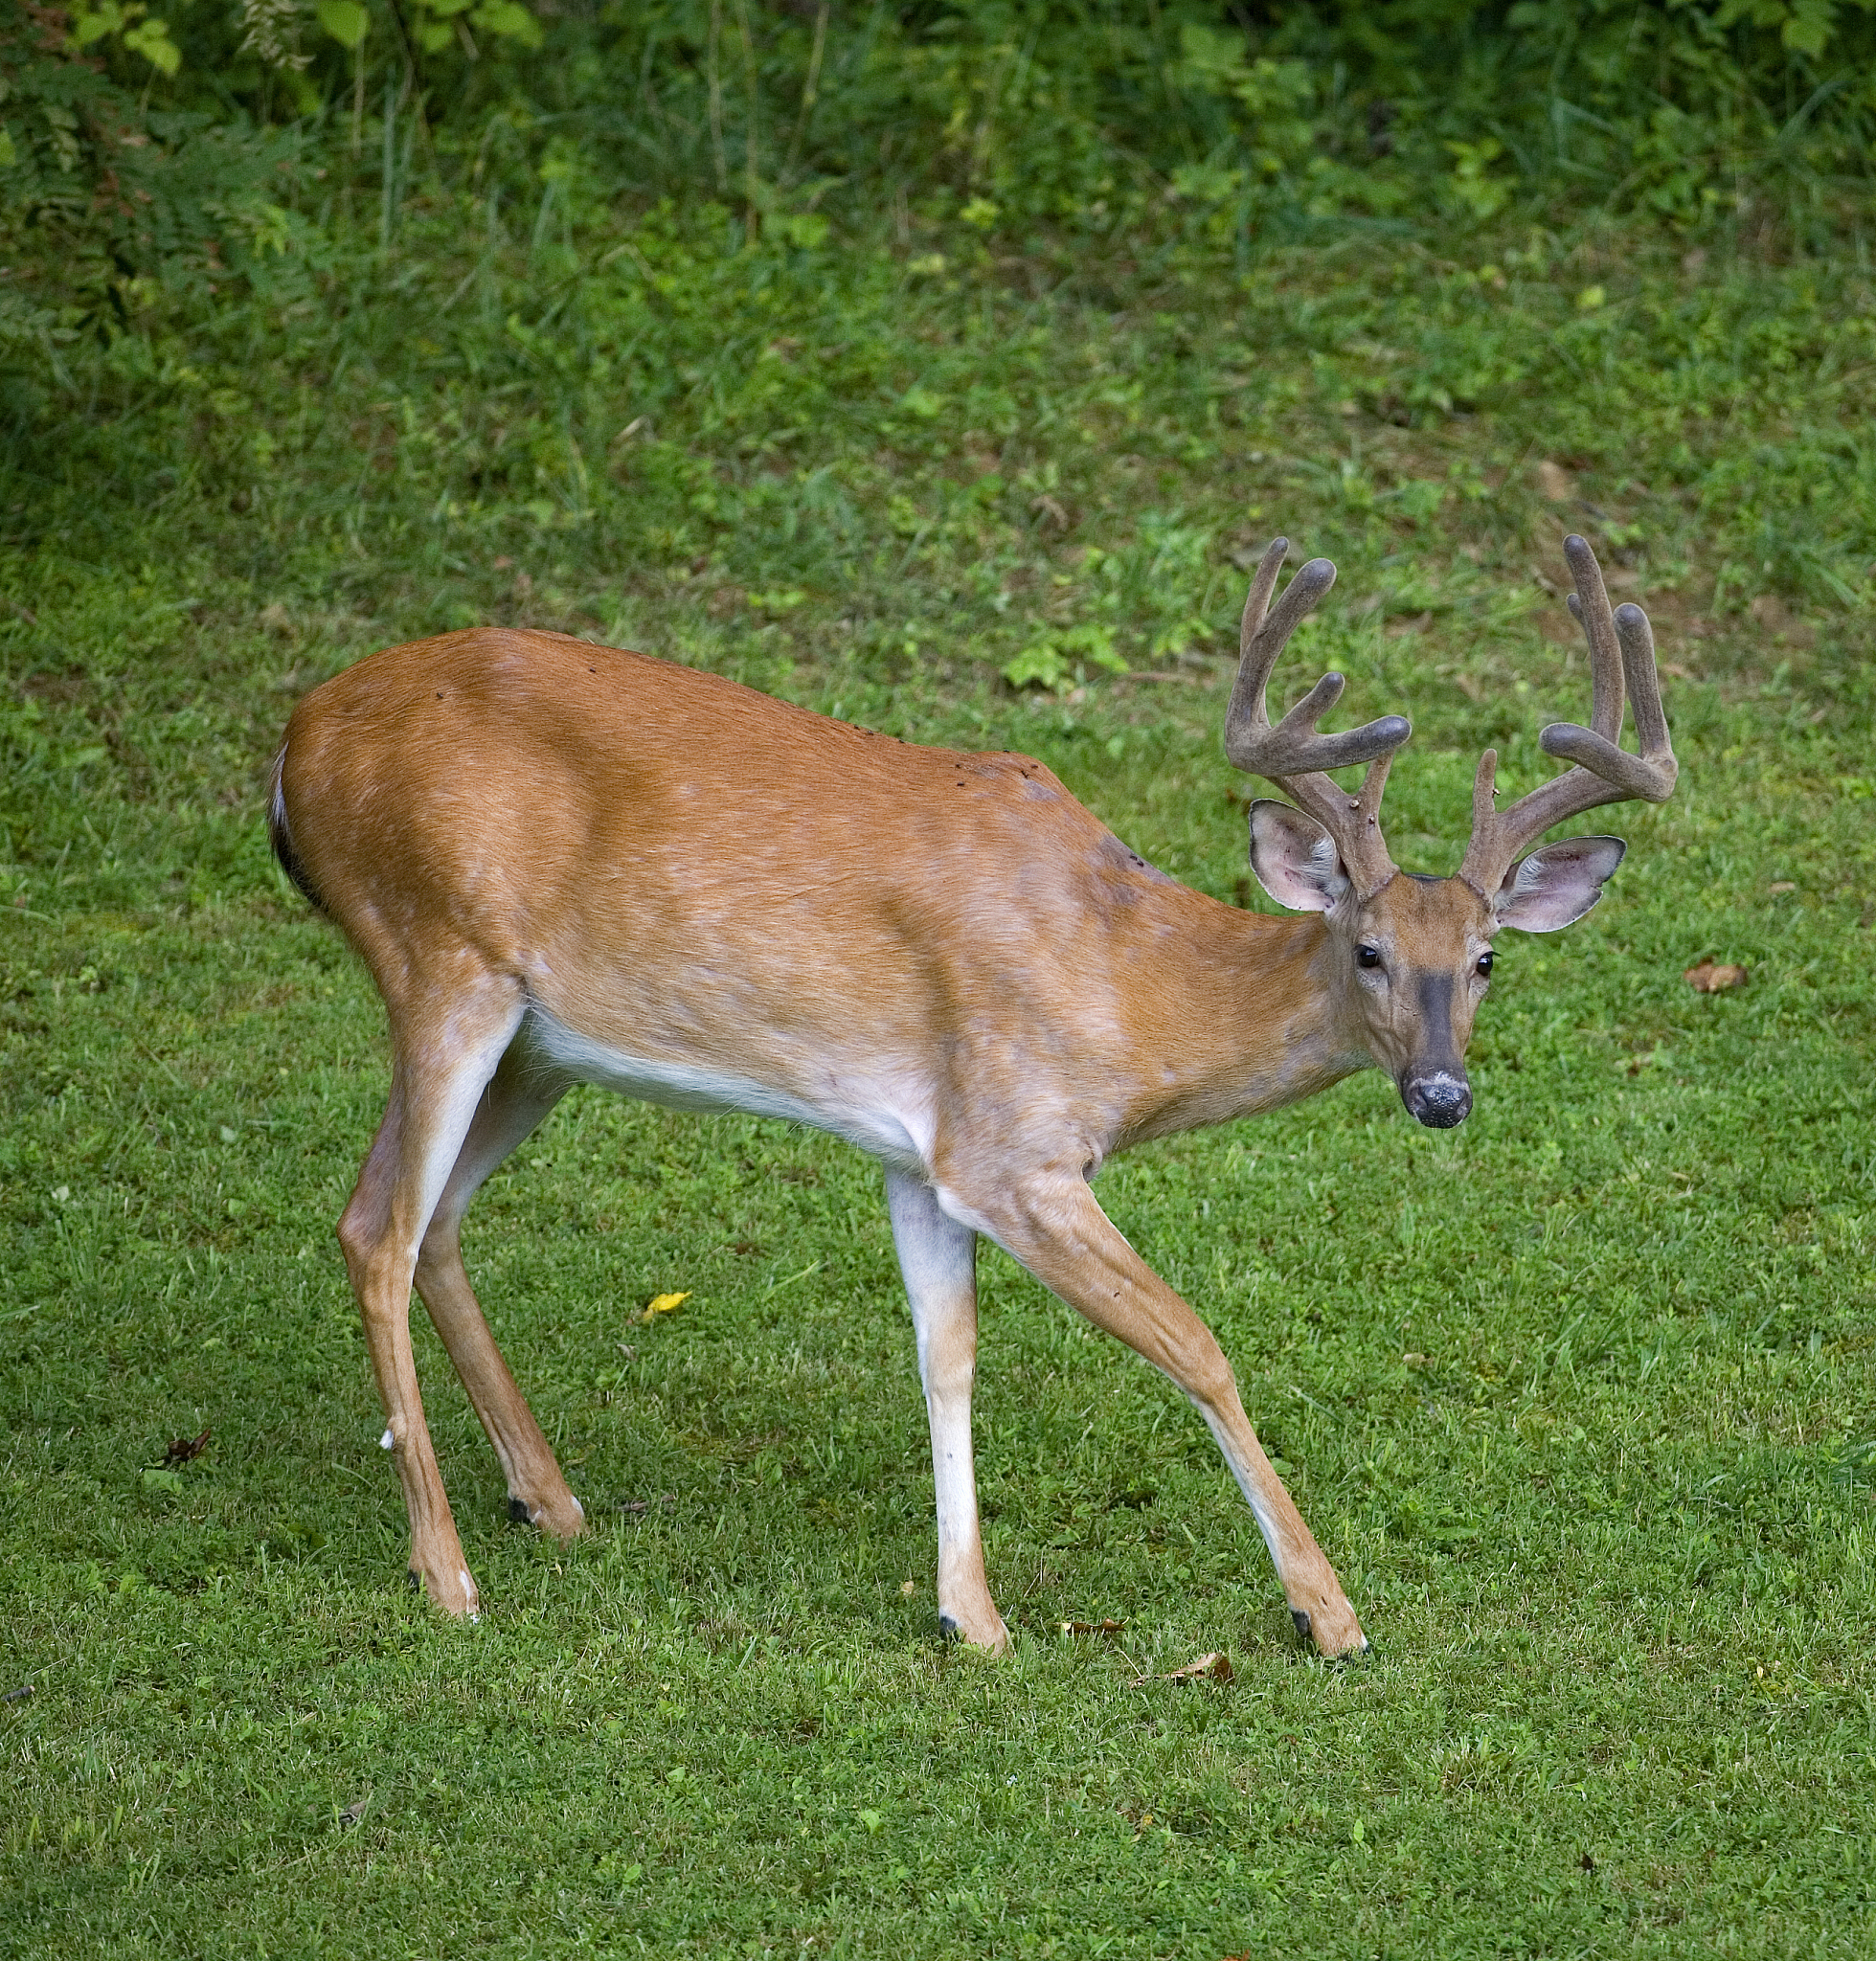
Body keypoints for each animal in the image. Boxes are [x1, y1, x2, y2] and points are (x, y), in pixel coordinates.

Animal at [268, 532, 1674, 1657]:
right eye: (1369, 949)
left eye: (1486, 958)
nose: (1440, 1093)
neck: (1128, 981)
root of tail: (291, 751)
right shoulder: (1015, 1147)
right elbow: (1194, 1343)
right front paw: (1326, 1612)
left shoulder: (921, 1151)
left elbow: (946, 1356)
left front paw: (972, 1616)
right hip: (438, 956)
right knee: (376, 1227)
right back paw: (447, 1575)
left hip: (538, 1043)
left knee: (429, 1221)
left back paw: (547, 1500)